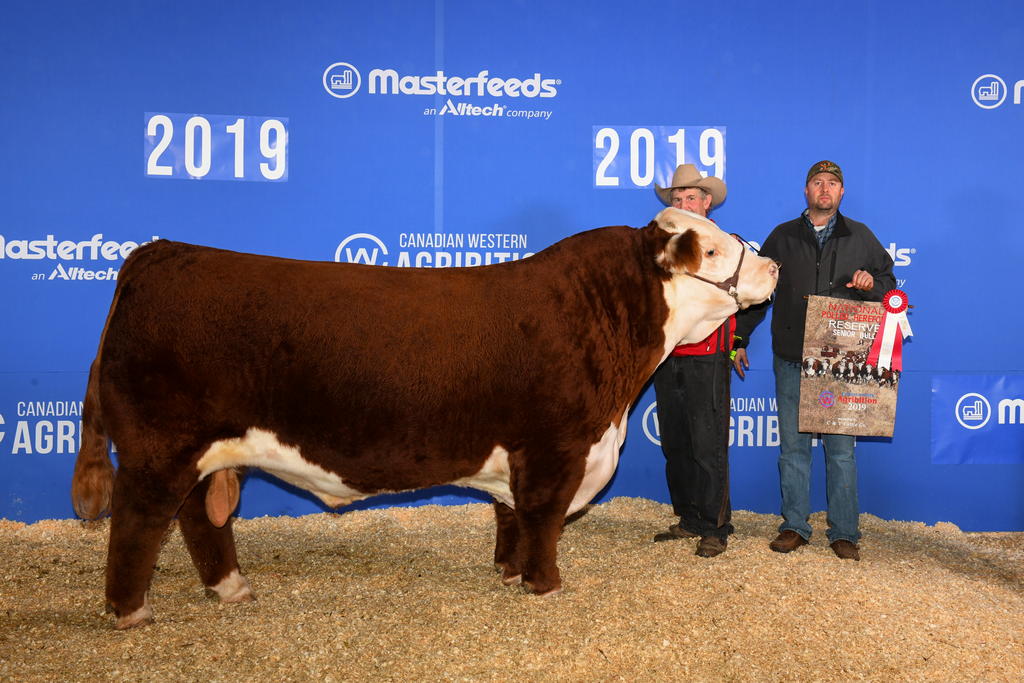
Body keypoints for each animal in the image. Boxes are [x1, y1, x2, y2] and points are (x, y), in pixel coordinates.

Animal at [71, 208, 778, 629]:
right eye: (714, 251)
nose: (770, 264)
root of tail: (158, 252)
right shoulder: (555, 447)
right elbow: (543, 518)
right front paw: (545, 585)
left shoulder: (517, 453)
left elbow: (510, 515)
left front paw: (509, 571)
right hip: (158, 447)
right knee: (138, 521)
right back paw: (130, 612)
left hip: (206, 451)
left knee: (197, 517)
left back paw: (231, 588)